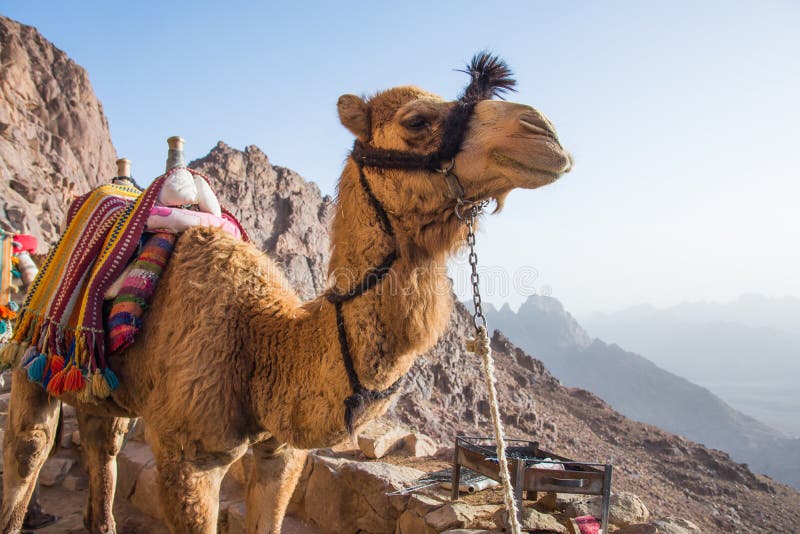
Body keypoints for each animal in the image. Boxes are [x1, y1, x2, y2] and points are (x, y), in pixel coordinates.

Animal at [1, 54, 572, 533]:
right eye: (416, 121)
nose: (544, 132)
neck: (262, 340)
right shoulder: (187, 458)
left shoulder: (282, 451)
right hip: (32, 351)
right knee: (30, 448)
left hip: (104, 382)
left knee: (102, 441)